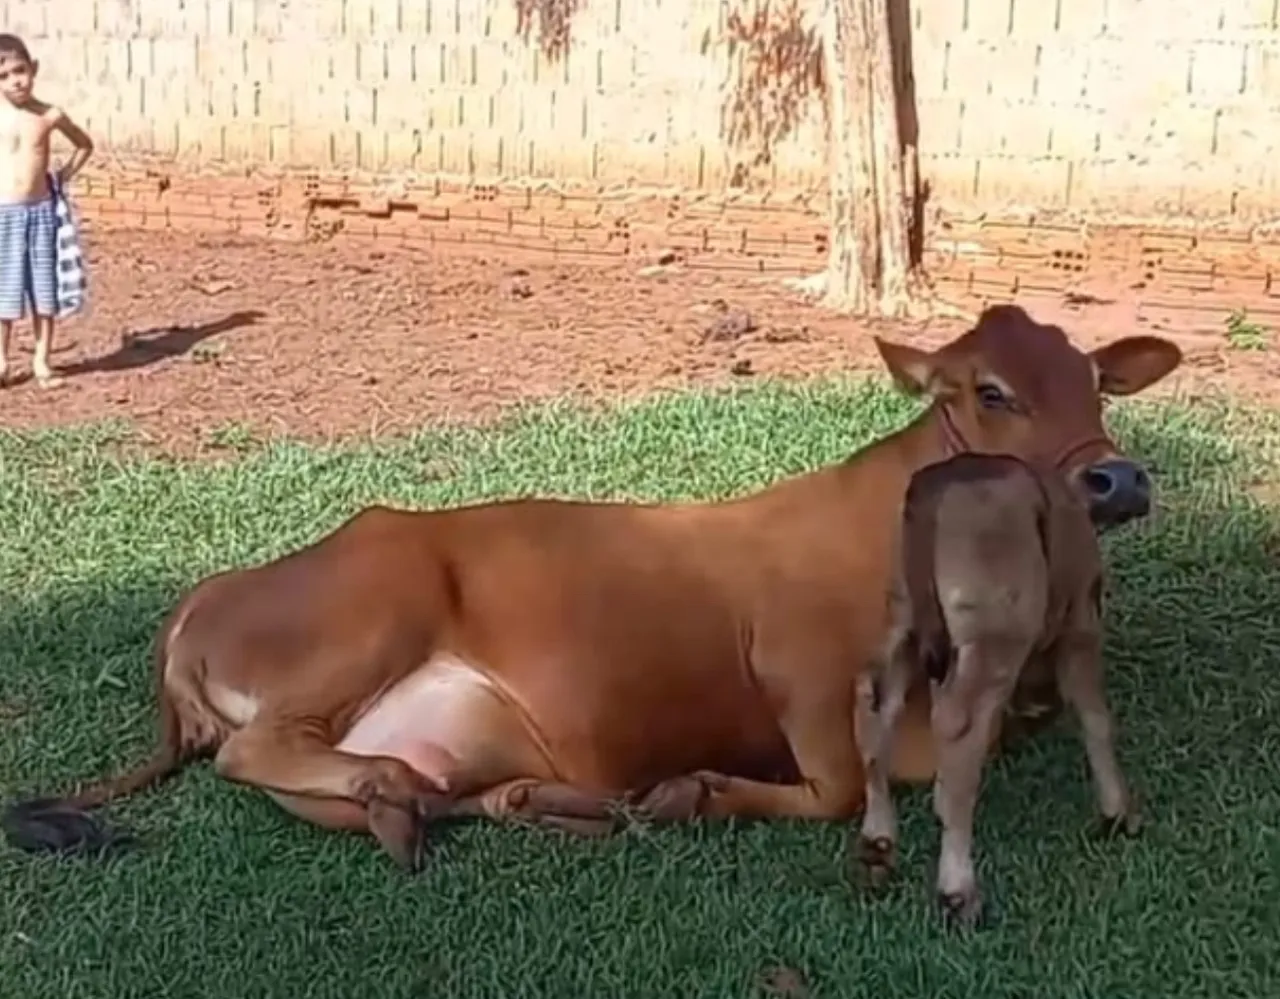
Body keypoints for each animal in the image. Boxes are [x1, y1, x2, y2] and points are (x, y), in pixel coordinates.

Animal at [1, 305, 1182, 872]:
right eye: (988, 390)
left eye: (1093, 378)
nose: (1114, 477)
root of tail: (206, 591)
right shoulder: (797, 668)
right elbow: (844, 789)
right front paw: (696, 791)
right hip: (367, 614)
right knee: (256, 751)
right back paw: (423, 793)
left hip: (453, 728)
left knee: (364, 781)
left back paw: (478, 804)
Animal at [852, 452, 1141, 929]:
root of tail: (936, 486)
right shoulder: (1080, 627)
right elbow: (1096, 718)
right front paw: (1117, 814)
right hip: (993, 642)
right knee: (958, 728)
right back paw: (958, 892)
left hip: (903, 622)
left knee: (875, 702)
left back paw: (878, 841)